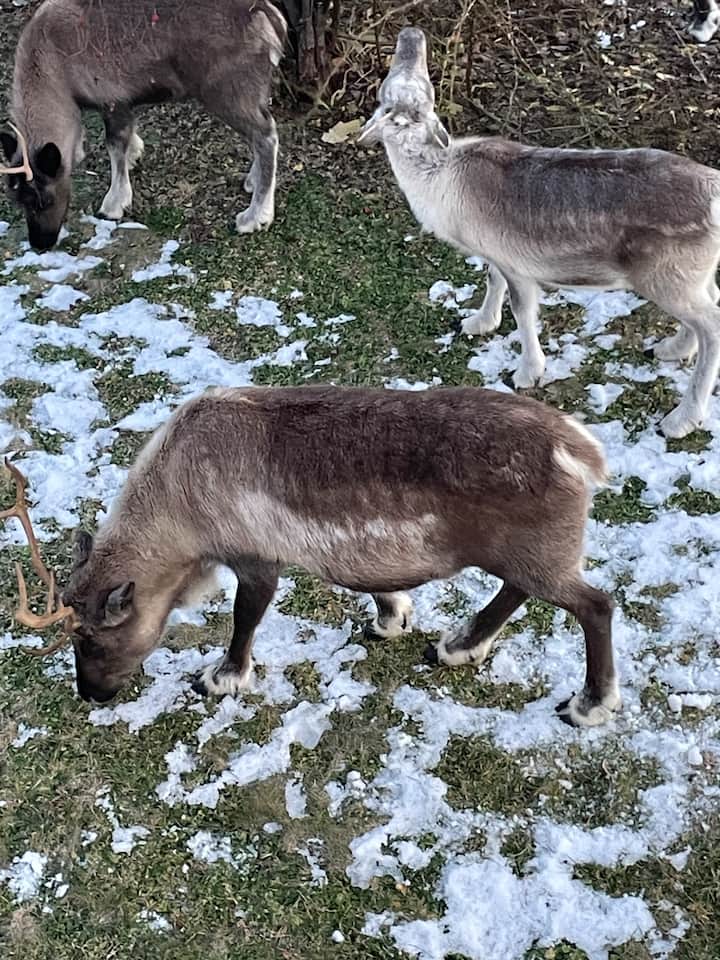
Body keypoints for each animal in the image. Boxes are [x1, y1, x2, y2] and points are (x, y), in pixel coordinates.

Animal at [0, 0, 286, 251]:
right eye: (16, 200)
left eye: (43, 199)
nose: (40, 243)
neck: (52, 70)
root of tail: (264, 14)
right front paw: (134, 154)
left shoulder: (111, 98)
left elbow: (115, 145)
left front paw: (115, 202)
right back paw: (253, 182)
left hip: (227, 92)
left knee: (266, 136)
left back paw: (255, 216)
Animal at [2, 384, 620, 729]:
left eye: (93, 639)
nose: (91, 693)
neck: (179, 509)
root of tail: (581, 451)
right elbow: (371, 584)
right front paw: (393, 617)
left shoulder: (254, 557)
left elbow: (244, 619)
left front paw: (222, 678)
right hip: (524, 553)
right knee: (521, 589)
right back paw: (460, 645)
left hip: (537, 551)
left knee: (596, 604)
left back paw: (590, 704)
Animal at [358, 27, 720, 441]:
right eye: (420, 85)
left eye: (390, 93)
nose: (412, 34)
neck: (439, 186)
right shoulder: (495, 252)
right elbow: (491, 280)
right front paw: (476, 324)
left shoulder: (518, 266)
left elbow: (522, 310)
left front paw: (527, 373)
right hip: (693, 274)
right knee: (711, 301)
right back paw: (671, 350)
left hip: (667, 277)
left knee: (713, 325)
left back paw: (680, 420)